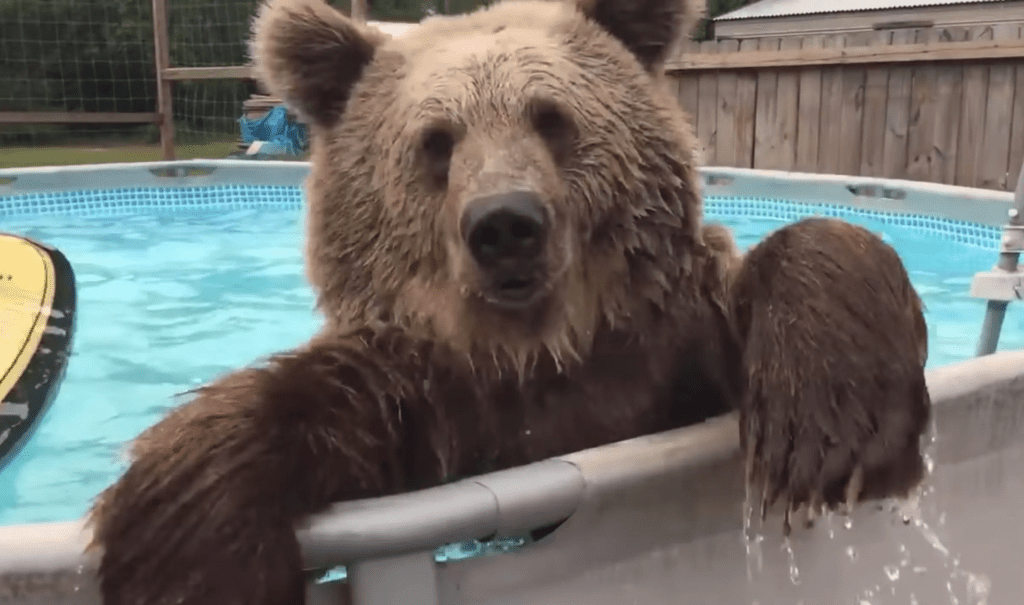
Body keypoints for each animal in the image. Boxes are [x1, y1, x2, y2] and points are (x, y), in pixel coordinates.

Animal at [84, 0, 931, 603]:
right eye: (436, 140)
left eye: (551, 118)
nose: (505, 225)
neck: (543, 348)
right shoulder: (429, 402)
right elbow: (271, 420)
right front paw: (196, 565)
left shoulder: (668, 348)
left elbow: (801, 265)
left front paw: (828, 436)